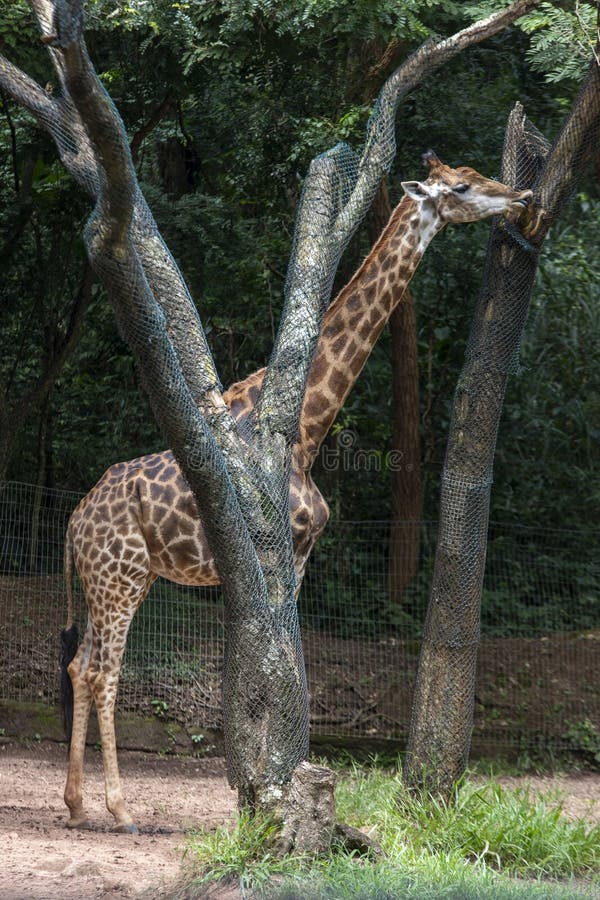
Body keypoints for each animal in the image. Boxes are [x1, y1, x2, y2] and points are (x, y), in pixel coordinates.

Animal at [61, 152, 532, 832]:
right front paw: (279, 787)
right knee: (103, 672)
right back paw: (120, 809)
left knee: (79, 664)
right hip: (117, 576)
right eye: (464, 186)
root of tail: (74, 521)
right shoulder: (290, 549)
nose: (522, 197)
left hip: (120, 579)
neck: (309, 431)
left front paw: (260, 790)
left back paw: (75, 803)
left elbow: (255, 668)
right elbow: (285, 667)